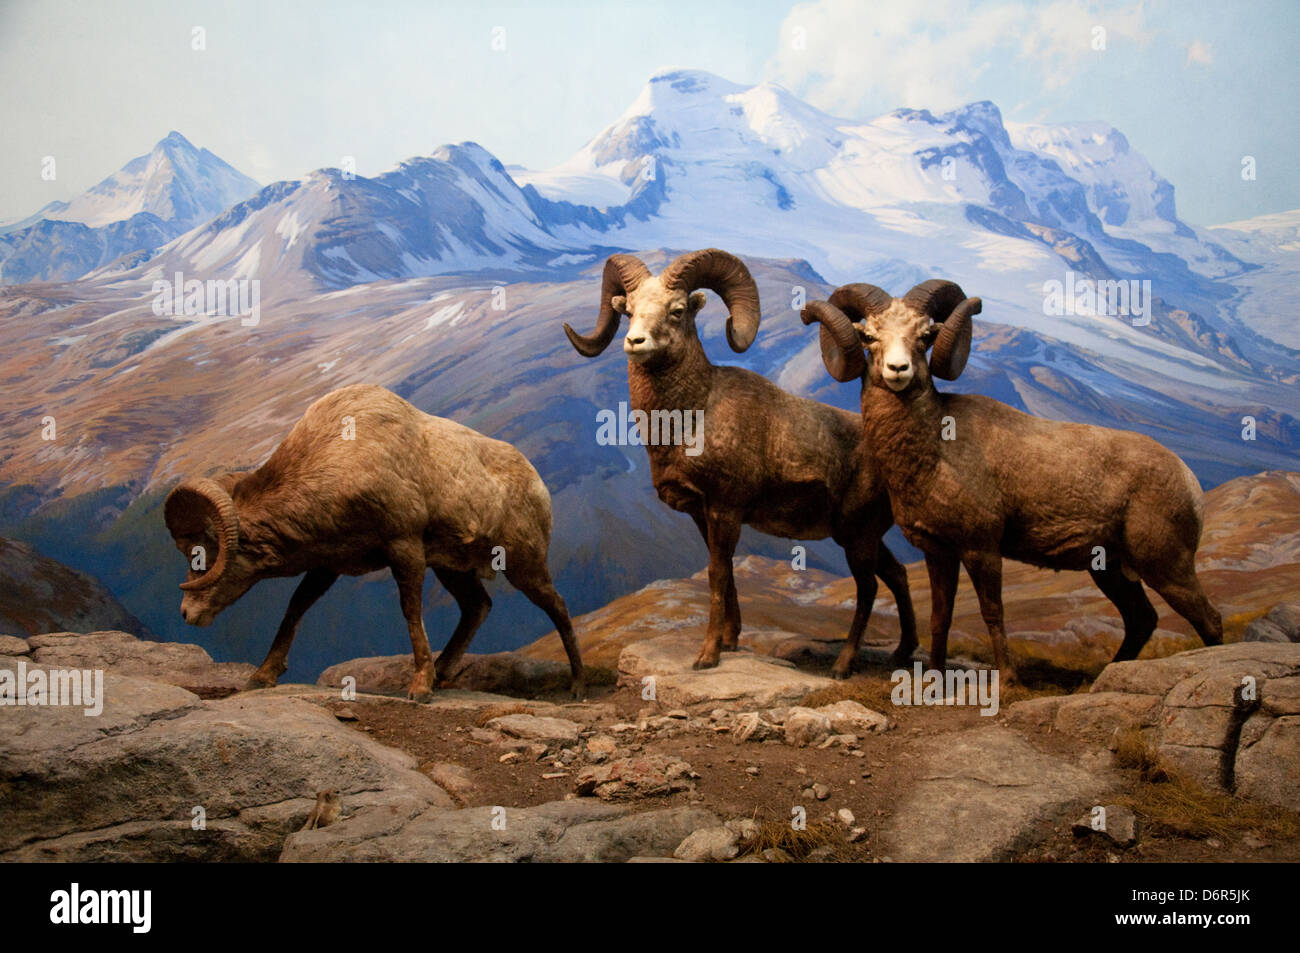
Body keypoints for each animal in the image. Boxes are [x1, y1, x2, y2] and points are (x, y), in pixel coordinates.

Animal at [163, 383, 585, 700]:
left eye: (200, 555)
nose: (186, 613)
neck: (342, 454)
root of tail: (536, 481)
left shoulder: (405, 549)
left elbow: (410, 611)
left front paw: (420, 689)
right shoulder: (328, 565)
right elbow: (296, 608)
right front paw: (261, 677)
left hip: (522, 565)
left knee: (557, 607)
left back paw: (577, 686)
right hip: (453, 569)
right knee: (477, 606)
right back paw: (444, 673)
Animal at [564, 249, 917, 676]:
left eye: (677, 310)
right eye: (629, 310)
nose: (635, 341)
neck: (693, 415)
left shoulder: (725, 509)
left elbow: (717, 575)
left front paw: (707, 657)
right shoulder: (703, 515)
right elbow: (727, 573)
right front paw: (731, 642)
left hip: (858, 537)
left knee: (868, 588)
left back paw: (843, 665)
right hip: (862, 535)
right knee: (897, 575)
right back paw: (903, 652)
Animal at [801, 280, 1223, 683]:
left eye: (924, 336)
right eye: (870, 336)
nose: (898, 369)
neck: (936, 446)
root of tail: (1188, 479)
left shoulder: (982, 549)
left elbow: (993, 613)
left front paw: (1009, 680)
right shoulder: (939, 552)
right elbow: (940, 617)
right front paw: (934, 679)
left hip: (1167, 567)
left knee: (1208, 619)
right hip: (1111, 570)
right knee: (1141, 620)